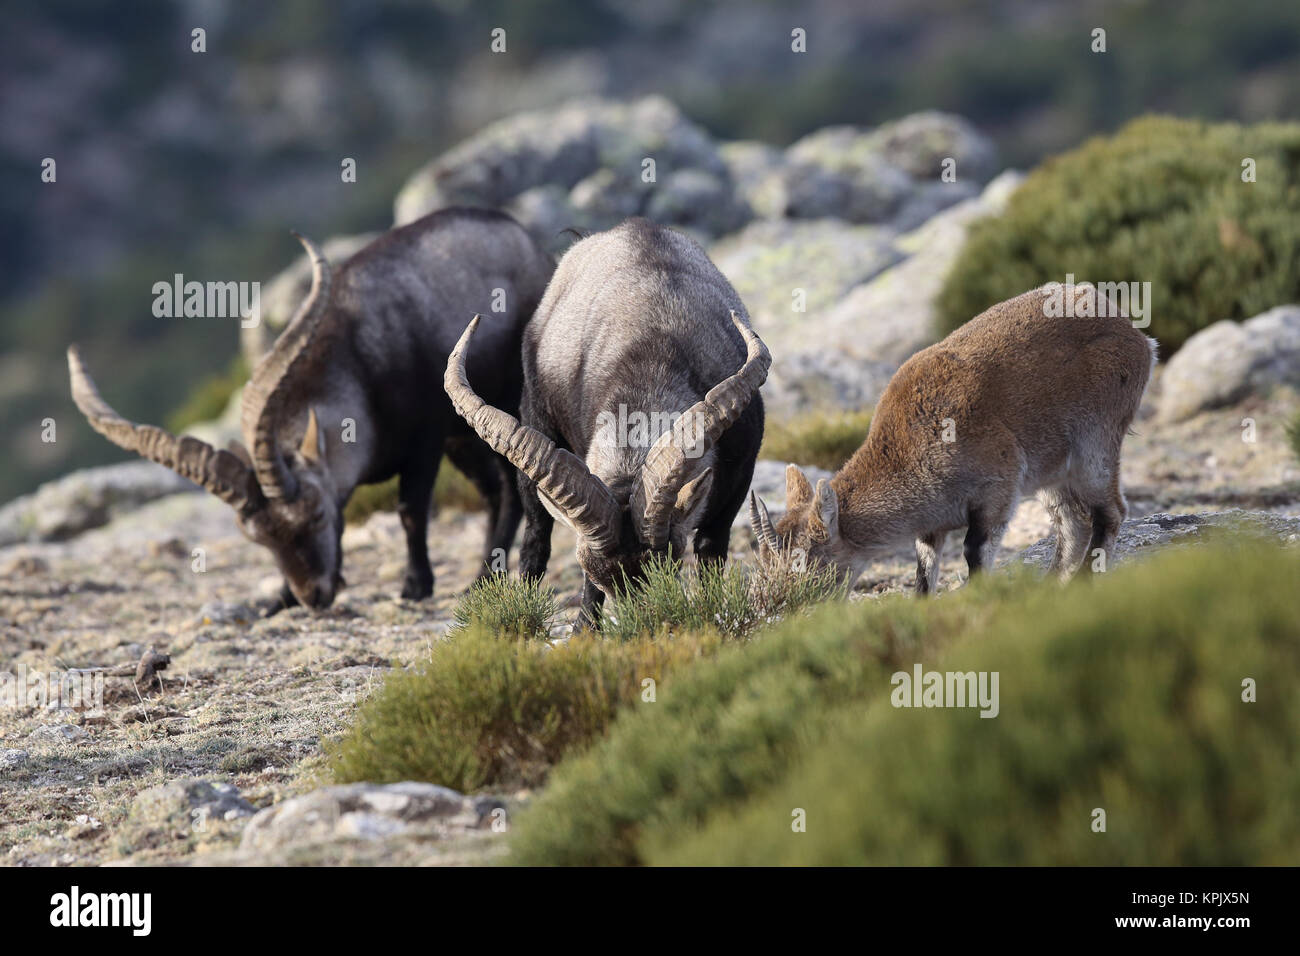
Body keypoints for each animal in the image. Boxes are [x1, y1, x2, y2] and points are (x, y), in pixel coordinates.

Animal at [69, 208, 555, 613]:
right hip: (464, 438)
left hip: (495, 410)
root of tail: (530, 244)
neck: (356, 365)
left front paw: (415, 585)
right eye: (261, 540)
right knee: (493, 492)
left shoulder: (425, 441)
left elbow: (410, 510)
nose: (314, 596)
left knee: (509, 488)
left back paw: (480, 579)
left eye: (316, 514)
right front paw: (279, 598)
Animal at [445, 217, 770, 624]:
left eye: (667, 565)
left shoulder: (739, 476)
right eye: (597, 574)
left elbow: (711, 551)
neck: (652, 346)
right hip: (535, 420)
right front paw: (585, 628)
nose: (643, 622)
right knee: (536, 536)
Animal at [750, 283, 1157, 592]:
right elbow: (924, 571)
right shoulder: (931, 527)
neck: (906, 446)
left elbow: (975, 552)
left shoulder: (996, 490)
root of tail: (1137, 336)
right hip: (1052, 471)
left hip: (1095, 442)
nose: (784, 608)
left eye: (806, 564)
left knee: (1110, 513)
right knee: (1072, 524)